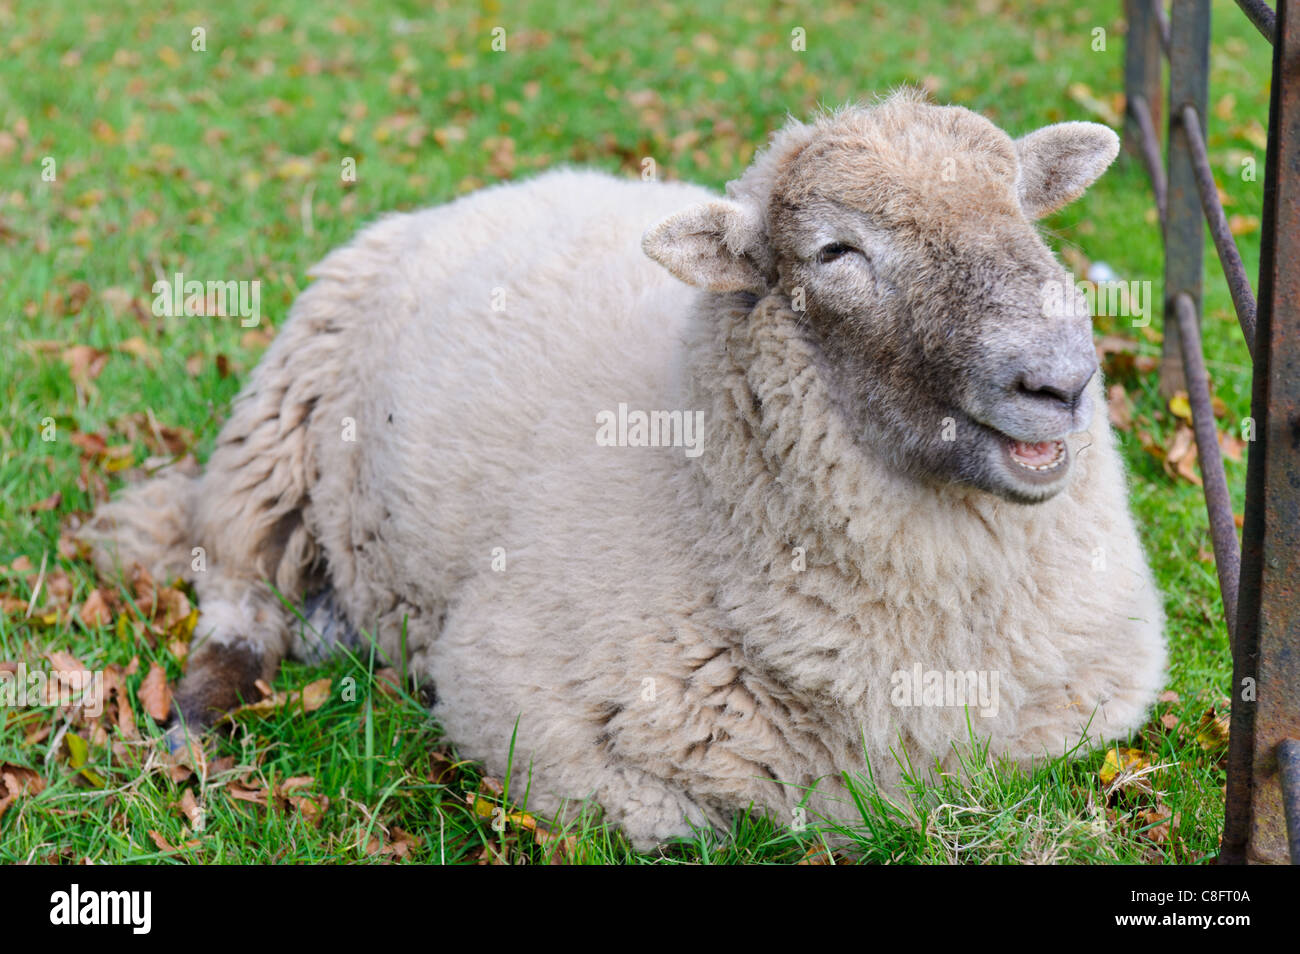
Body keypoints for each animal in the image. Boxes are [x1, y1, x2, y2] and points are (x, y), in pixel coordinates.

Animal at [84, 90, 1167, 849]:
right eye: (835, 251)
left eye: (1023, 206)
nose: (1058, 377)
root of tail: (485, 194)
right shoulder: (521, 711)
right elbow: (699, 822)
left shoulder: (1084, 713)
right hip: (273, 431)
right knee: (235, 598)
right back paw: (207, 713)